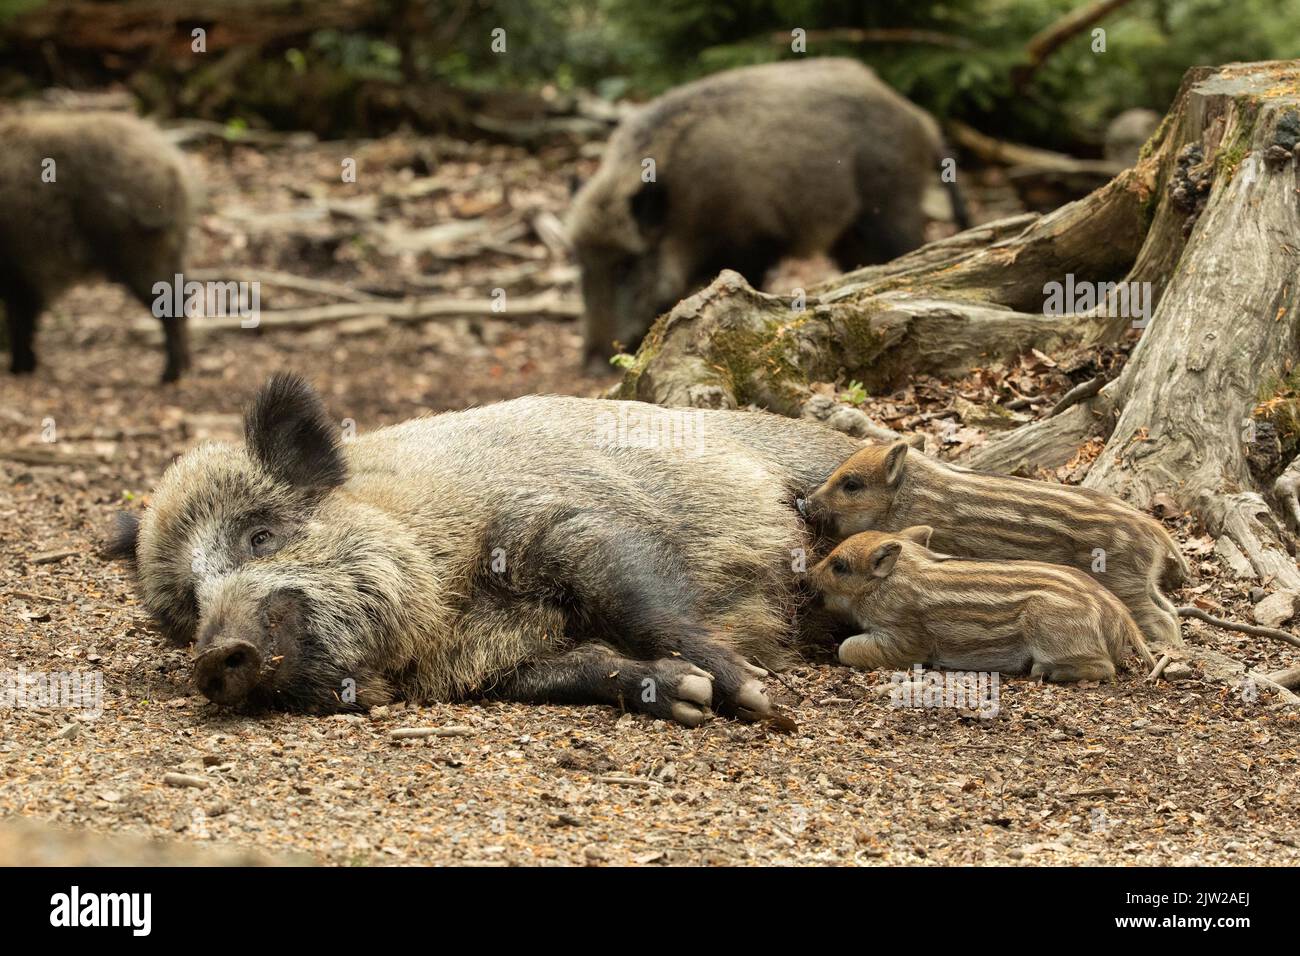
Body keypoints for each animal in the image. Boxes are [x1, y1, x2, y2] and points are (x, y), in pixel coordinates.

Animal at [0, 111, 196, 382]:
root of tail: (173, 168)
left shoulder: (21, 269)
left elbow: (19, 319)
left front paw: (19, 369)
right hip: (167, 249)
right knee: (183, 298)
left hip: (140, 252)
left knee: (172, 305)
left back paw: (169, 376)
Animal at [106, 374, 861, 724]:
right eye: (187, 607)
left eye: (260, 535)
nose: (215, 655)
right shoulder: (498, 667)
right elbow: (585, 665)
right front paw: (689, 697)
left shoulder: (559, 524)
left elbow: (646, 609)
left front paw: (763, 700)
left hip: (813, 460)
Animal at [567, 58, 969, 371]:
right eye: (581, 266)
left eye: (626, 265)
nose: (593, 366)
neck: (684, 211)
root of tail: (921, 119)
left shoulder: (753, 242)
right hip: (847, 236)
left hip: (892, 210)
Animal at [797, 441, 1188, 647]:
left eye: (851, 484)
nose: (804, 502)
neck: (908, 498)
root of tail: (1155, 529)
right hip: (1144, 584)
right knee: (1170, 610)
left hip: (1127, 585)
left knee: (1161, 621)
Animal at [811, 526, 1157, 681]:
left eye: (839, 566)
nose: (809, 575)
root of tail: (1119, 615)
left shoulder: (904, 640)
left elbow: (847, 649)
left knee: (1104, 668)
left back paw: (1041, 672)